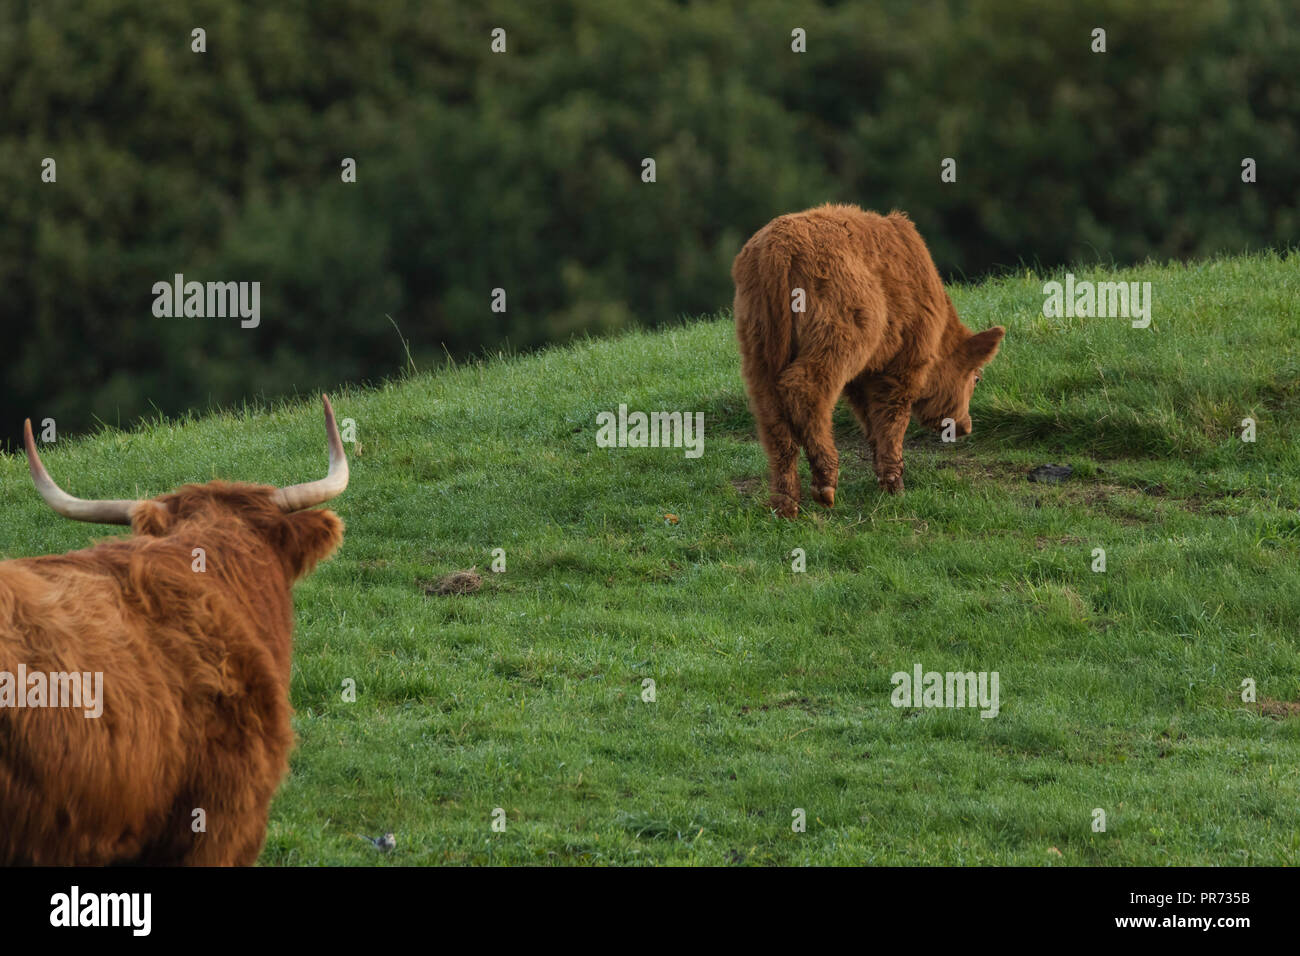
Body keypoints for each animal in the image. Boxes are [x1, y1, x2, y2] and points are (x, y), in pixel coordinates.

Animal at [732, 204, 1005, 517]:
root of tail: (778, 247)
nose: (965, 426)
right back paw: (825, 483)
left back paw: (785, 503)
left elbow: (870, 421)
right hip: (836, 339)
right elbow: (891, 421)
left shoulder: (864, 376)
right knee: (803, 390)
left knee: (772, 416)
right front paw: (894, 485)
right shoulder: (903, 367)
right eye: (976, 378)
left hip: (759, 353)